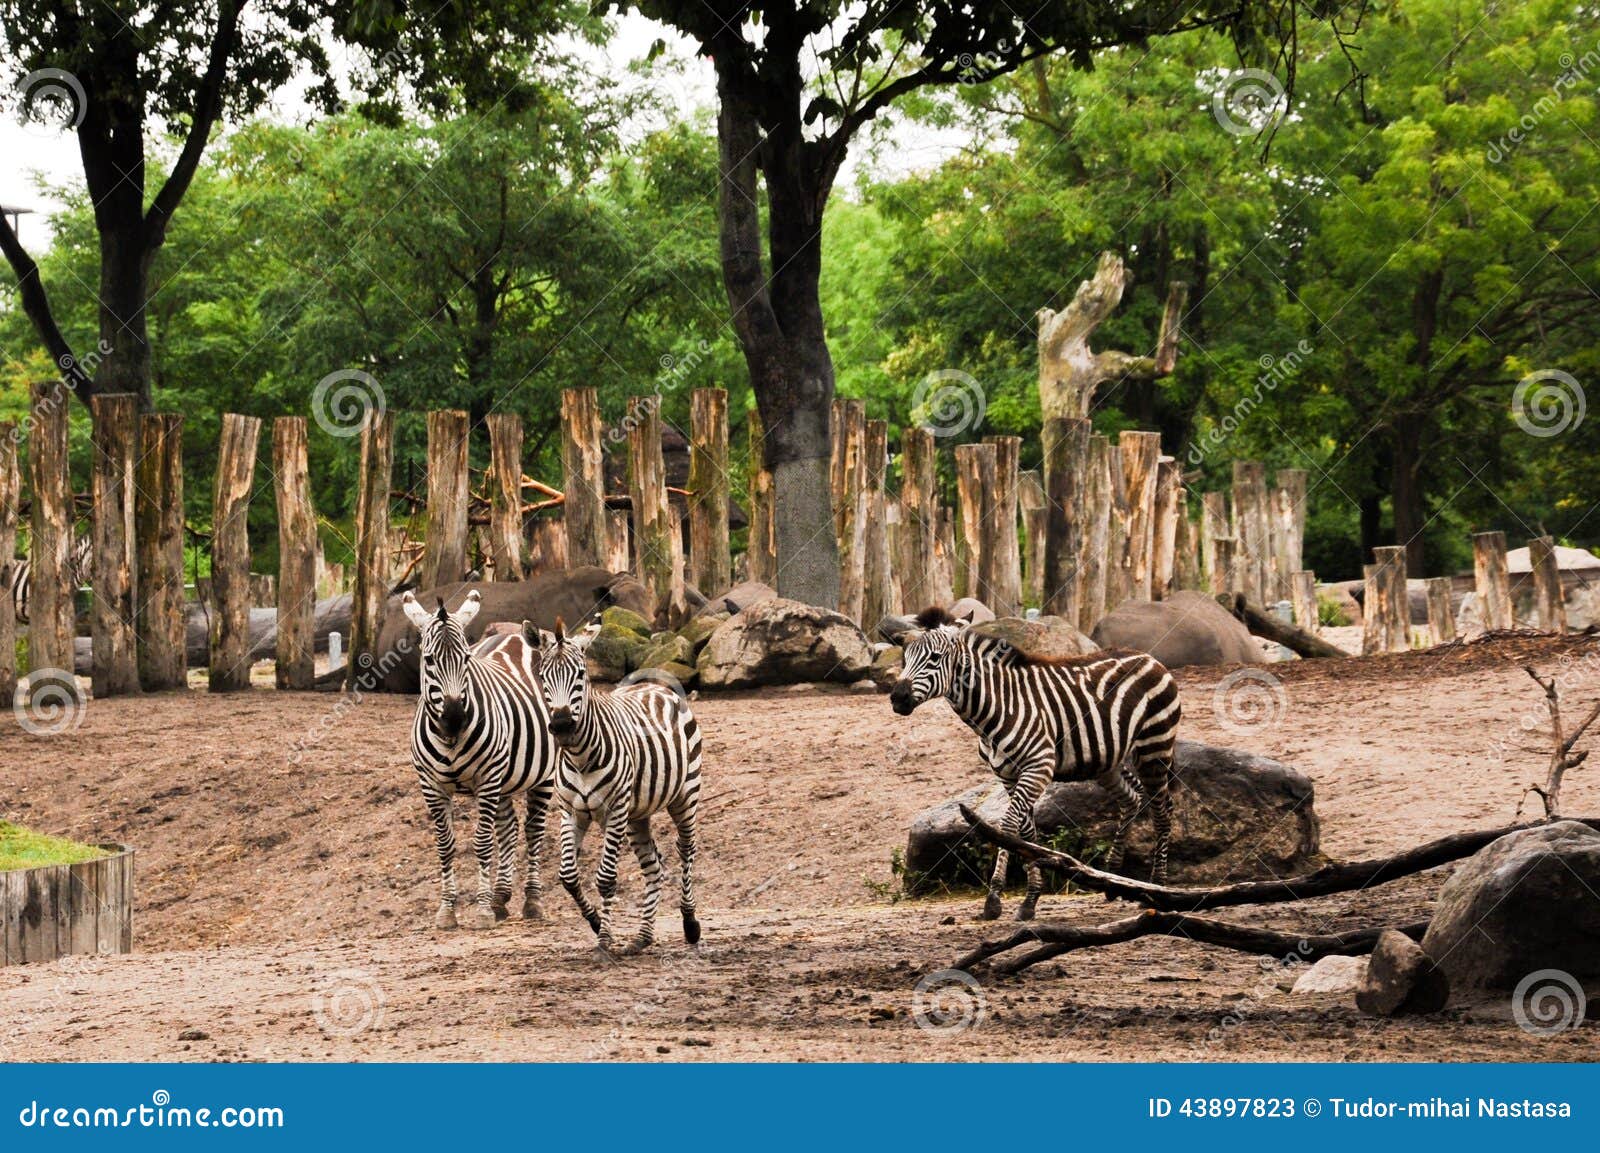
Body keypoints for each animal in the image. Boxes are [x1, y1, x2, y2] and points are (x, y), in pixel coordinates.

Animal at [401, 588, 559, 931]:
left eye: (465, 659)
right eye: (429, 660)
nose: (454, 718)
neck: (449, 739)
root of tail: (514, 635)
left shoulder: (487, 779)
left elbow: (483, 841)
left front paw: (483, 910)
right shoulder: (430, 786)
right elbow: (446, 846)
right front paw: (447, 910)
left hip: (541, 775)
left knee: (533, 829)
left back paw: (531, 901)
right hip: (504, 778)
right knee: (509, 828)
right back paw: (501, 898)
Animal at [526, 617, 703, 955]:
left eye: (581, 675)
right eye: (543, 676)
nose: (562, 725)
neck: (580, 757)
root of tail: (655, 686)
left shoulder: (615, 810)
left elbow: (606, 879)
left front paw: (605, 939)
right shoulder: (571, 812)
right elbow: (568, 876)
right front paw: (596, 924)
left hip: (684, 796)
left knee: (685, 848)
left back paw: (690, 923)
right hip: (637, 816)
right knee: (654, 866)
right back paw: (642, 937)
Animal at [890, 606, 1181, 922]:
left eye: (935, 657)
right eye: (904, 658)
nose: (897, 698)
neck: (996, 707)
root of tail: (1149, 657)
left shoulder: (1038, 767)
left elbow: (1007, 827)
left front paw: (994, 898)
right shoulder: (1008, 775)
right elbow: (1027, 833)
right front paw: (1031, 899)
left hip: (1155, 747)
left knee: (1162, 811)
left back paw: (1157, 888)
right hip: (1107, 761)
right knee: (1132, 798)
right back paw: (1113, 879)